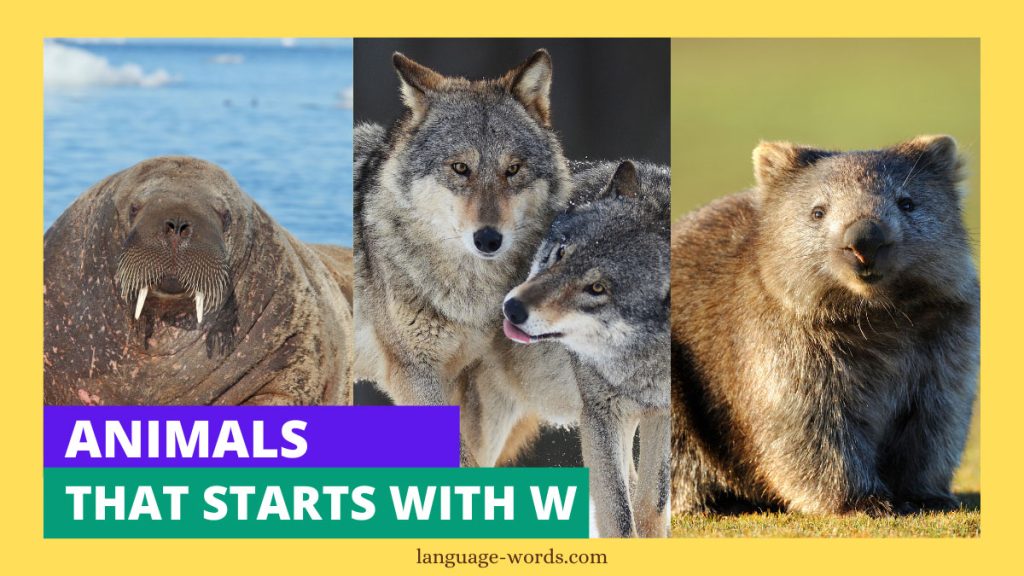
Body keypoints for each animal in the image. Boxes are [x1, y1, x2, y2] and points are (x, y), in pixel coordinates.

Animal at [354, 50, 582, 466]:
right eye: (461, 168)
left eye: (513, 170)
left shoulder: (462, 377)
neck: (466, 292)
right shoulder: (414, 374)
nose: (489, 239)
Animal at [503, 161, 672, 537]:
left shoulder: (661, 413)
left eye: (596, 288)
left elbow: (650, 504)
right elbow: (620, 516)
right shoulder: (600, 412)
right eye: (560, 254)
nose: (512, 308)